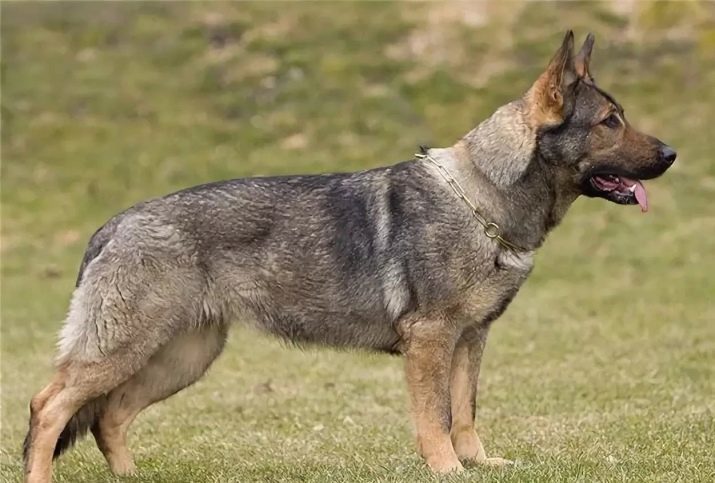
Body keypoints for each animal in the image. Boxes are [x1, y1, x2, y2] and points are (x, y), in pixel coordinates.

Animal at [19, 32, 676, 482]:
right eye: (610, 121)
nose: (672, 154)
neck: (484, 198)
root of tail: (113, 224)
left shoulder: (471, 340)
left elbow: (465, 414)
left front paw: (480, 465)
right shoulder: (431, 342)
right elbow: (436, 420)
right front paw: (447, 470)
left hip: (181, 357)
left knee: (109, 416)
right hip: (127, 351)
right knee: (48, 406)